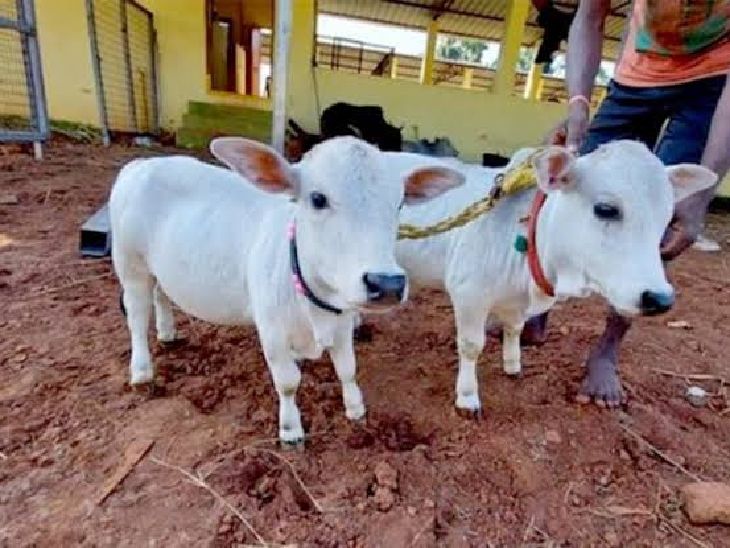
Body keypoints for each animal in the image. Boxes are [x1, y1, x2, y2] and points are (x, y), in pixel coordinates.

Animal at [110, 136, 463, 445]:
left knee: (161, 295)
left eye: (399, 203)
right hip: (130, 265)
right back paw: (142, 372)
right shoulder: (272, 331)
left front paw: (355, 409)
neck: (318, 302)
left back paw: (168, 333)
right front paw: (291, 430)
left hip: (157, 268)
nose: (387, 283)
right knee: (137, 317)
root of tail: (140, 165)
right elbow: (289, 383)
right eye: (318, 199)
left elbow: (347, 369)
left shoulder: (344, 324)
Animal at [385, 140, 716, 415]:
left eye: (667, 218)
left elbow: (515, 328)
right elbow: (471, 345)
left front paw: (513, 366)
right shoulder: (469, 293)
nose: (660, 298)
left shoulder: (515, 302)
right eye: (606, 209)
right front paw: (467, 398)